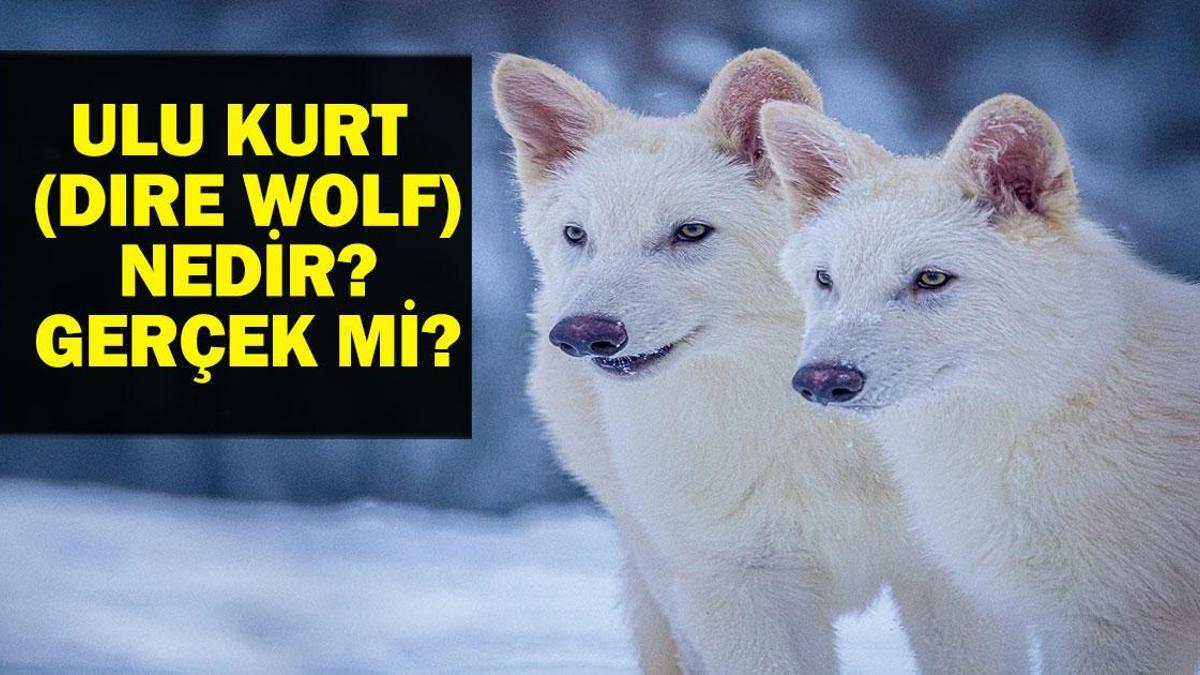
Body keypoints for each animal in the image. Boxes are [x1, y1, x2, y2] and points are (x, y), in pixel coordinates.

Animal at [493, 49, 1025, 673]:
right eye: (577, 235)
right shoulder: (737, 593)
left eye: (690, 231)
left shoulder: (951, 582)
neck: (808, 429)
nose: (582, 335)